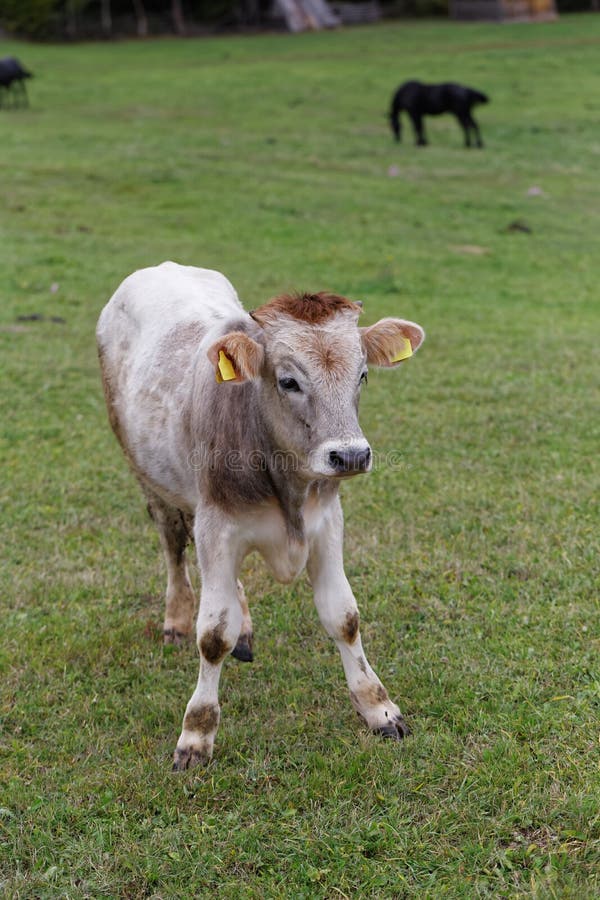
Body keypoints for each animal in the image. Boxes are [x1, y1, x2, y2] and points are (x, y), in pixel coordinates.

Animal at [96, 262, 425, 770]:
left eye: (363, 375)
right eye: (289, 381)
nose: (350, 455)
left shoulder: (327, 523)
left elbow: (343, 617)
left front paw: (379, 709)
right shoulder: (216, 526)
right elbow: (212, 634)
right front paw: (196, 734)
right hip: (150, 480)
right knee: (173, 546)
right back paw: (175, 619)